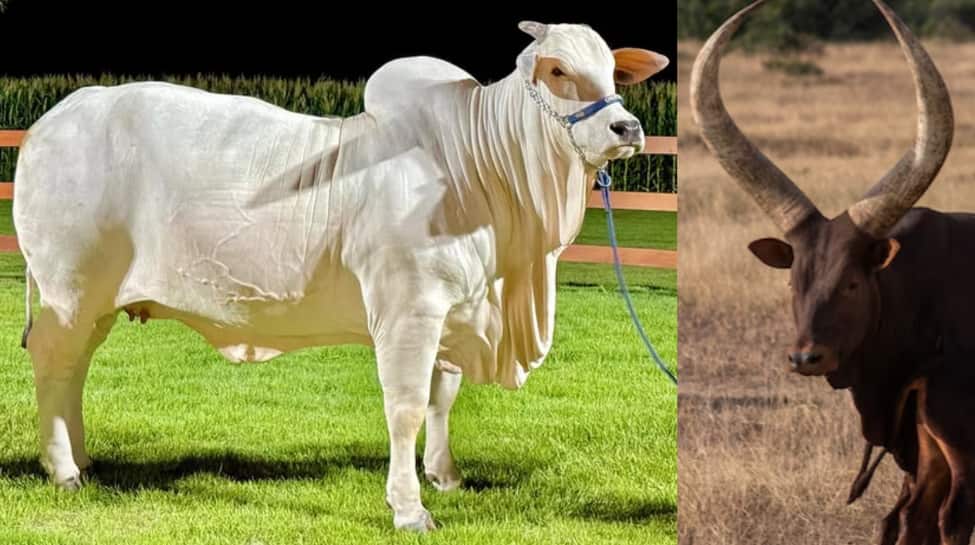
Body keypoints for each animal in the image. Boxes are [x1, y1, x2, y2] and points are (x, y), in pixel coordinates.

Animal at [12, 22, 669, 531]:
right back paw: (64, 470)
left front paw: (445, 477)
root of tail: (55, 117)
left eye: (614, 71)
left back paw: (81, 461)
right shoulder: (409, 311)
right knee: (54, 362)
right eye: (557, 69)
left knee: (74, 369)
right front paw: (409, 509)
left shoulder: (453, 308)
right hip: (69, 291)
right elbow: (406, 406)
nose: (627, 129)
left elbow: (443, 398)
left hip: (94, 301)